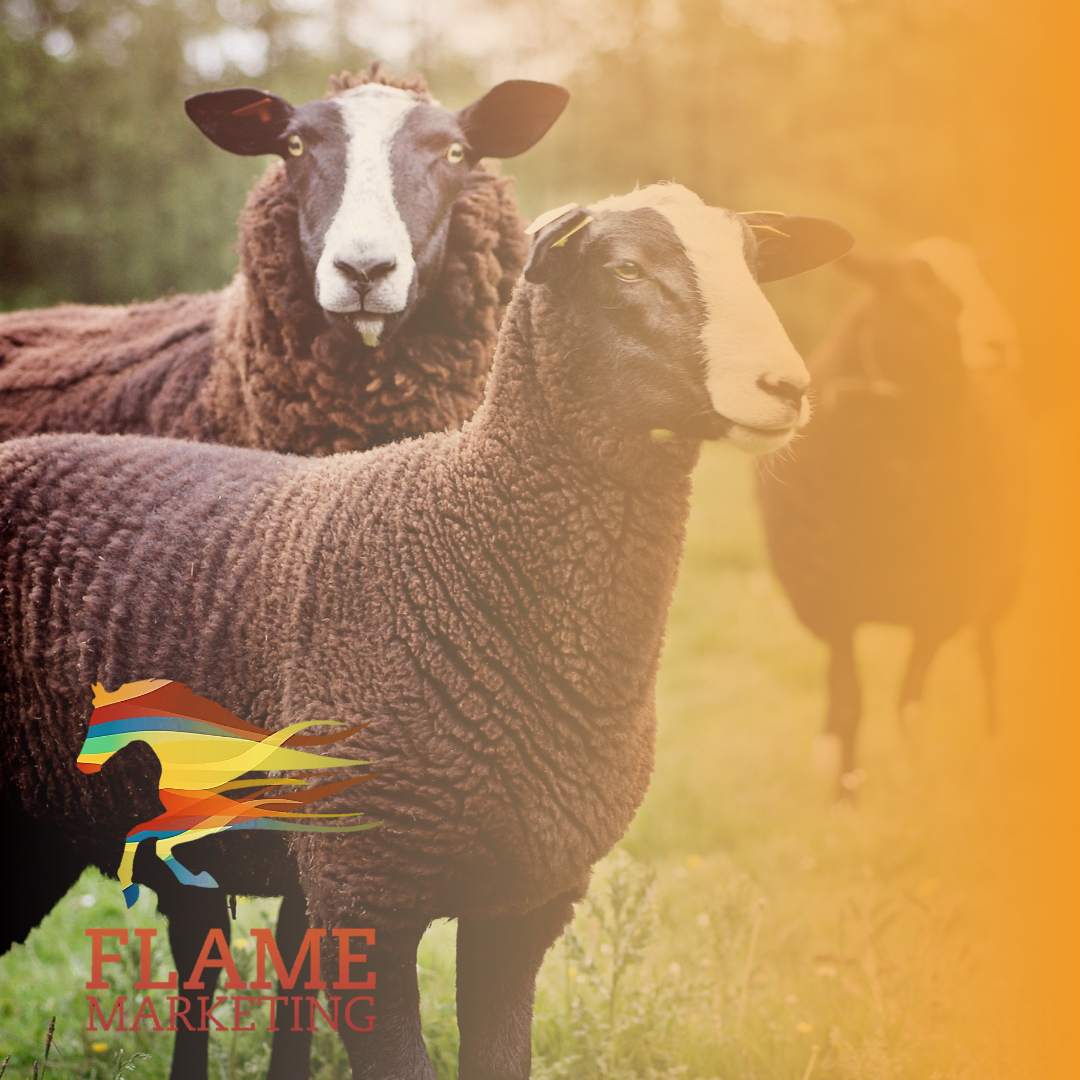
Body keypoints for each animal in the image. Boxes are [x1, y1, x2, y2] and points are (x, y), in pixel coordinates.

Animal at [756, 238, 1024, 790]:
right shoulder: (831, 599)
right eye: (916, 289)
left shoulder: (939, 604)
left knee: (987, 657)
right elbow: (849, 702)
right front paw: (845, 793)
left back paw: (992, 742)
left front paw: (913, 777)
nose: (1001, 343)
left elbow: (909, 704)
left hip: (999, 579)